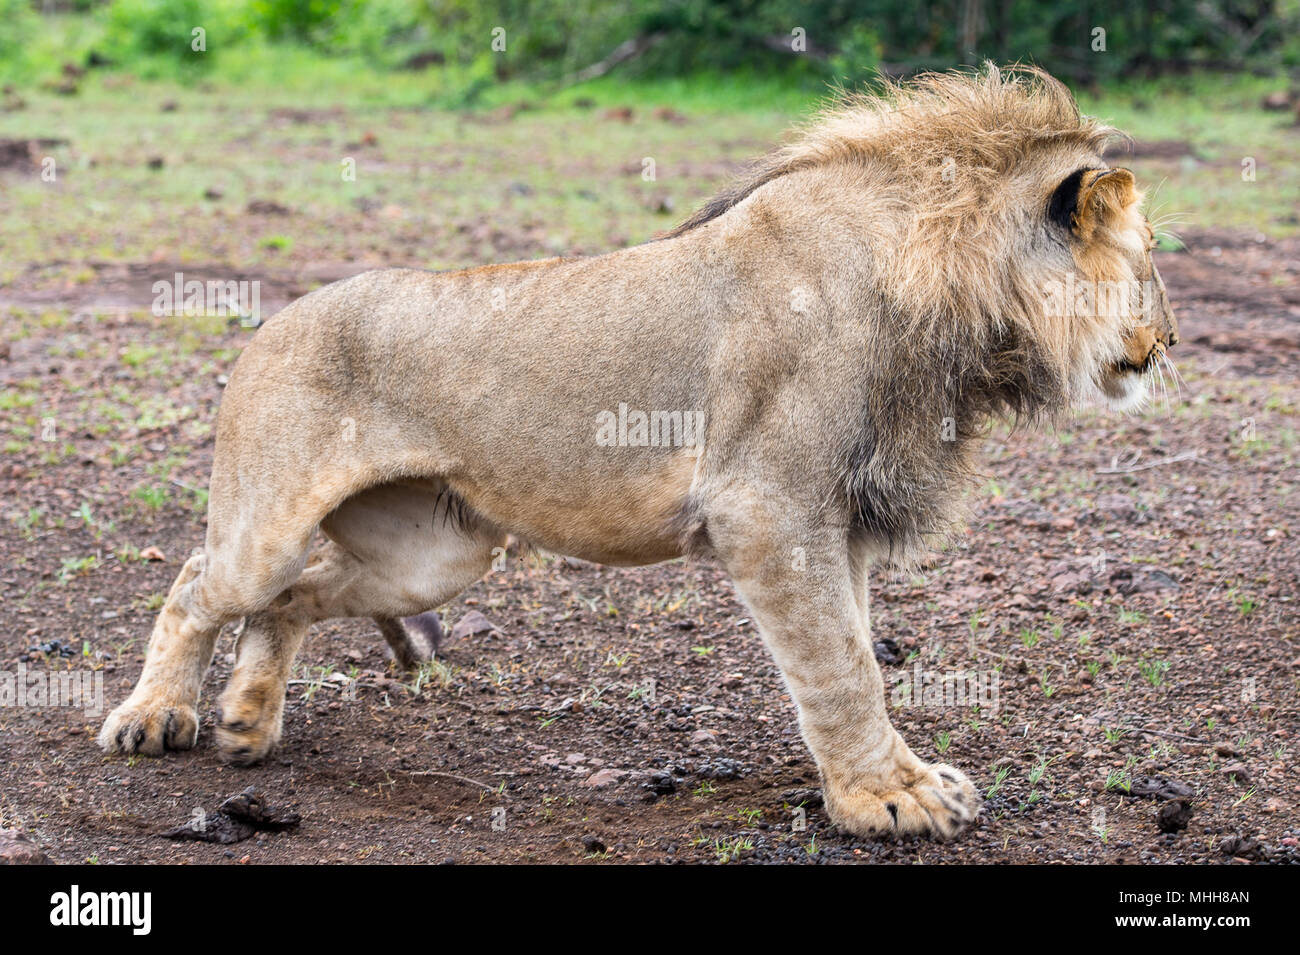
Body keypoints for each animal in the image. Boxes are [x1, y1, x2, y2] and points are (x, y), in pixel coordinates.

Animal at [99, 65, 1177, 840]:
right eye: (1149, 252)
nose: (1168, 340)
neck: (951, 297)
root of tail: (274, 319)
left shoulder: (843, 521)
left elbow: (855, 649)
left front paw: (883, 783)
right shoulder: (769, 506)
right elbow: (842, 666)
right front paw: (889, 801)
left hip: (433, 556)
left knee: (294, 598)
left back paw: (248, 721)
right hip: (269, 521)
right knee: (202, 581)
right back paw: (154, 719)